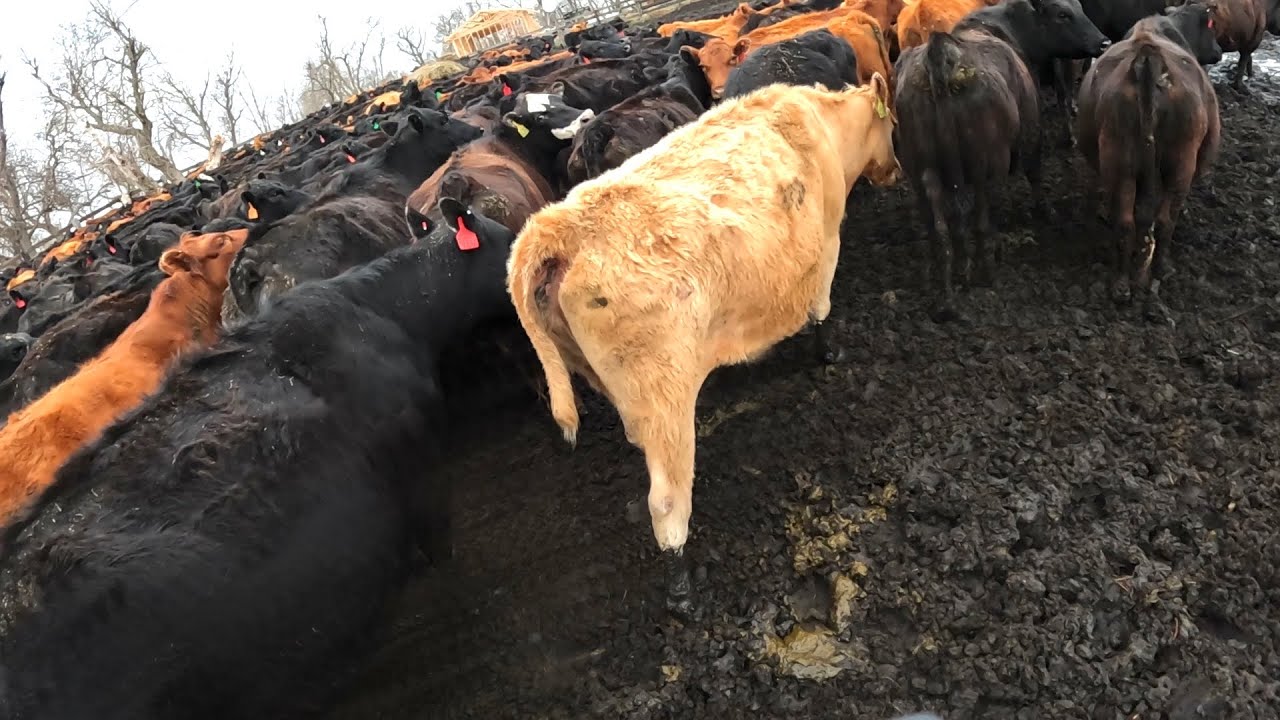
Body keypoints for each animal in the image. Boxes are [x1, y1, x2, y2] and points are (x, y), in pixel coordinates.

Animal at [505, 78, 900, 616]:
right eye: (893, 124)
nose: (895, 170)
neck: (819, 124)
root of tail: (553, 226)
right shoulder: (826, 245)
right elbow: (820, 312)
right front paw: (828, 354)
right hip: (665, 397)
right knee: (667, 502)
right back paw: (682, 589)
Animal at [892, 0, 1109, 319]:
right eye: (1062, 14)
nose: (1103, 42)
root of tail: (941, 54)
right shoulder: (1032, 128)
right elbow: (1034, 171)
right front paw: (1044, 210)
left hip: (923, 173)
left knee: (940, 233)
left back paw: (947, 293)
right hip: (987, 165)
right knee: (981, 220)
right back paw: (986, 272)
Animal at [1075, 12, 1221, 298]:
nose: (1220, 52)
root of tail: (1148, 55)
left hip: (1121, 164)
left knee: (1126, 222)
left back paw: (1122, 284)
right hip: (1181, 164)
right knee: (1165, 220)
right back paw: (1161, 270)